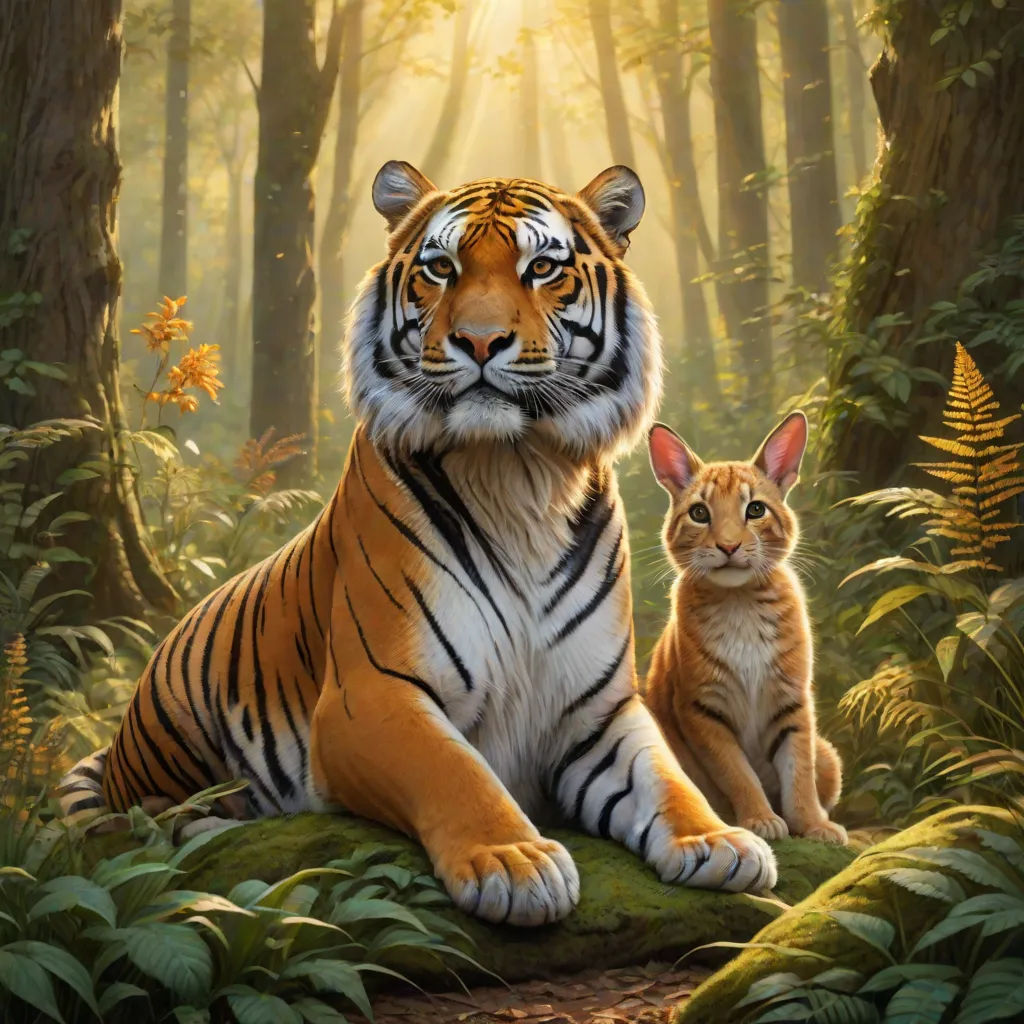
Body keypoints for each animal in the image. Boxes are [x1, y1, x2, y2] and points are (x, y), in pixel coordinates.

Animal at [58, 161, 776, 926]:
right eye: (441, 267)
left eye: (542, 267)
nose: (480, 341)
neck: (517, 475)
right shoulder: (368, 697)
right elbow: (456, 770)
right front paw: (515, 862)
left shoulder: (596, 711)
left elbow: (667, 778)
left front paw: (717, 840)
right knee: (147, 820)